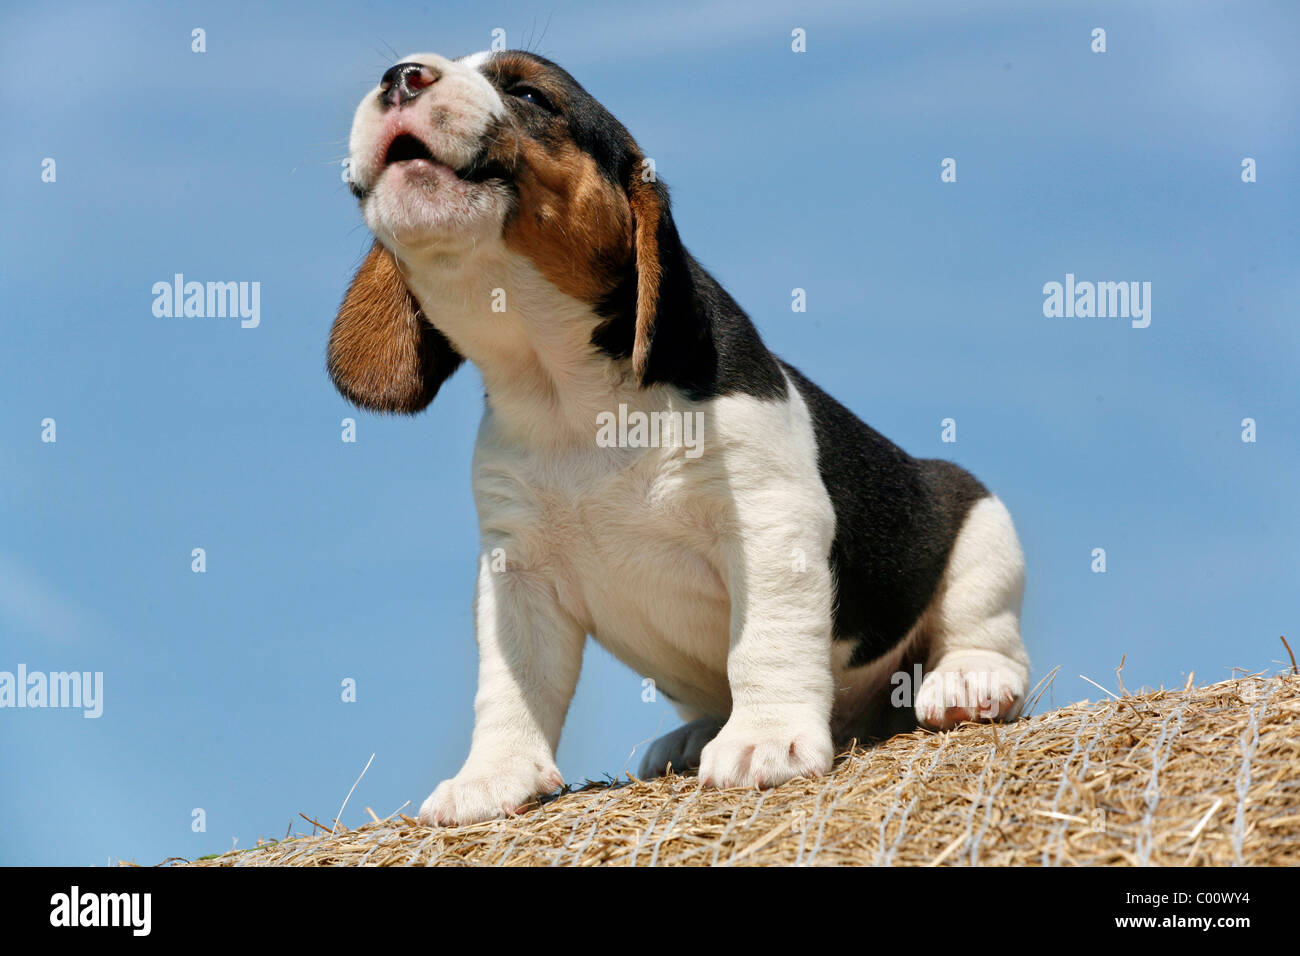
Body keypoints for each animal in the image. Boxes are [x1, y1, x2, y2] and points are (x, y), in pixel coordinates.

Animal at [332, 54, 1024, 832]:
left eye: (530, 92)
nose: (401, 76)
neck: (566, 391)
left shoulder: (769, 521)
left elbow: (767, 643)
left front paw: (764, 742)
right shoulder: (517, 569)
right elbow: (512, 683)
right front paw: (493, 776)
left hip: (981, 528)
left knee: (983, 629)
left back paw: (968, 682)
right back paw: (693, 737)